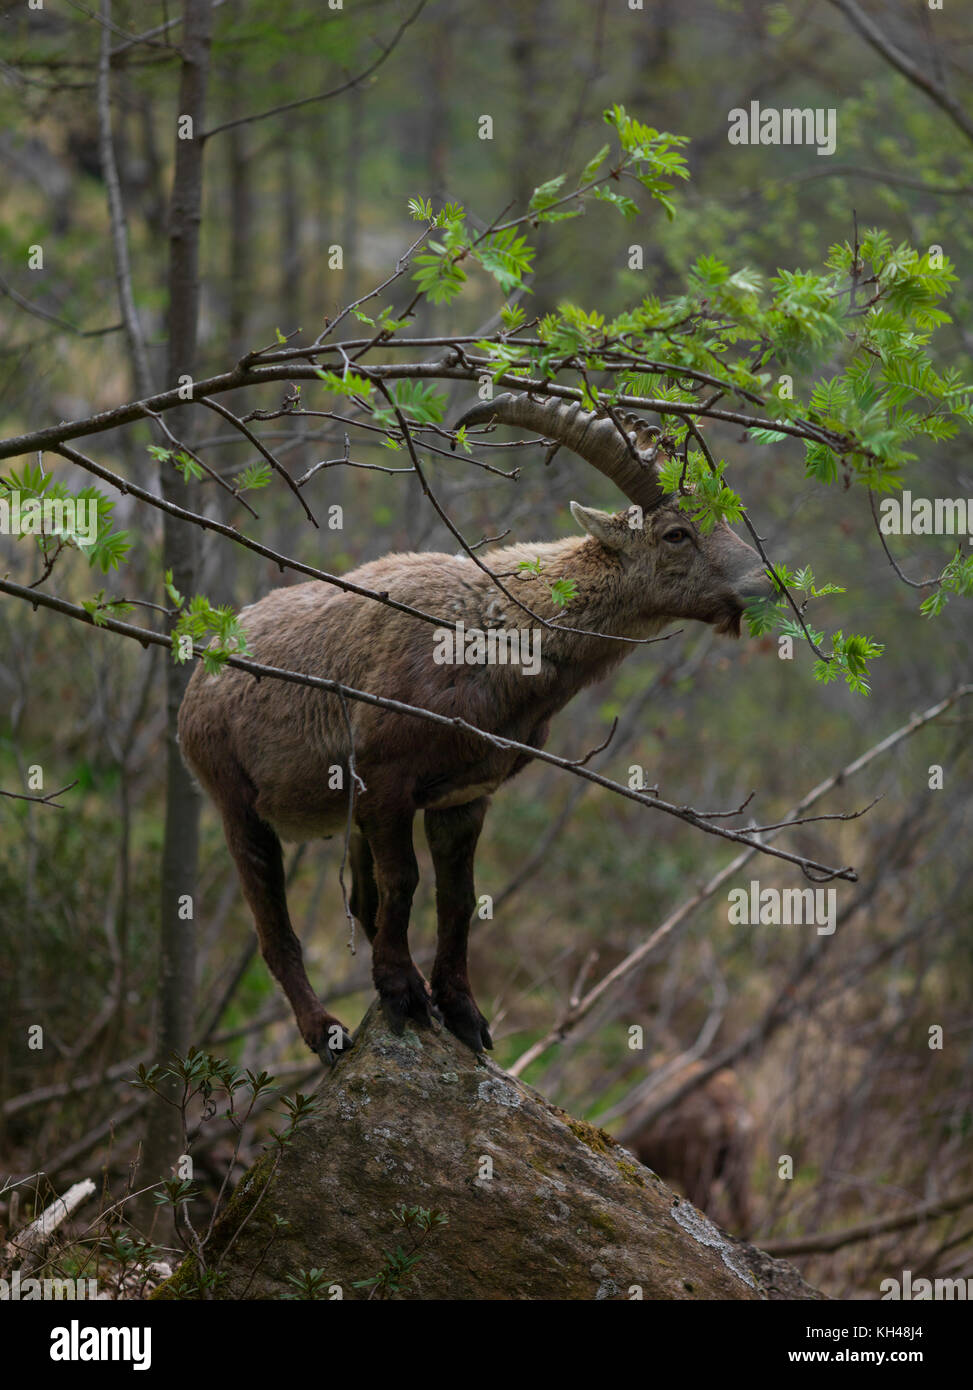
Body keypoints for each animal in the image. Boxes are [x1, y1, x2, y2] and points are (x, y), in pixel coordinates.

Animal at [178, 393, 774, 1063]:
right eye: (677, 533)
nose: (764, 587)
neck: (495, 630)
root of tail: (201, 668)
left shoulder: (462, 797)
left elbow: (456, 897)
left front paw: (462, 1013)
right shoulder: (386, 782)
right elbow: (403, 881)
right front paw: (405, 997)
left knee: (358, 899)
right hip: (237, 803)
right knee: (276, 931)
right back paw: (324, 1030)